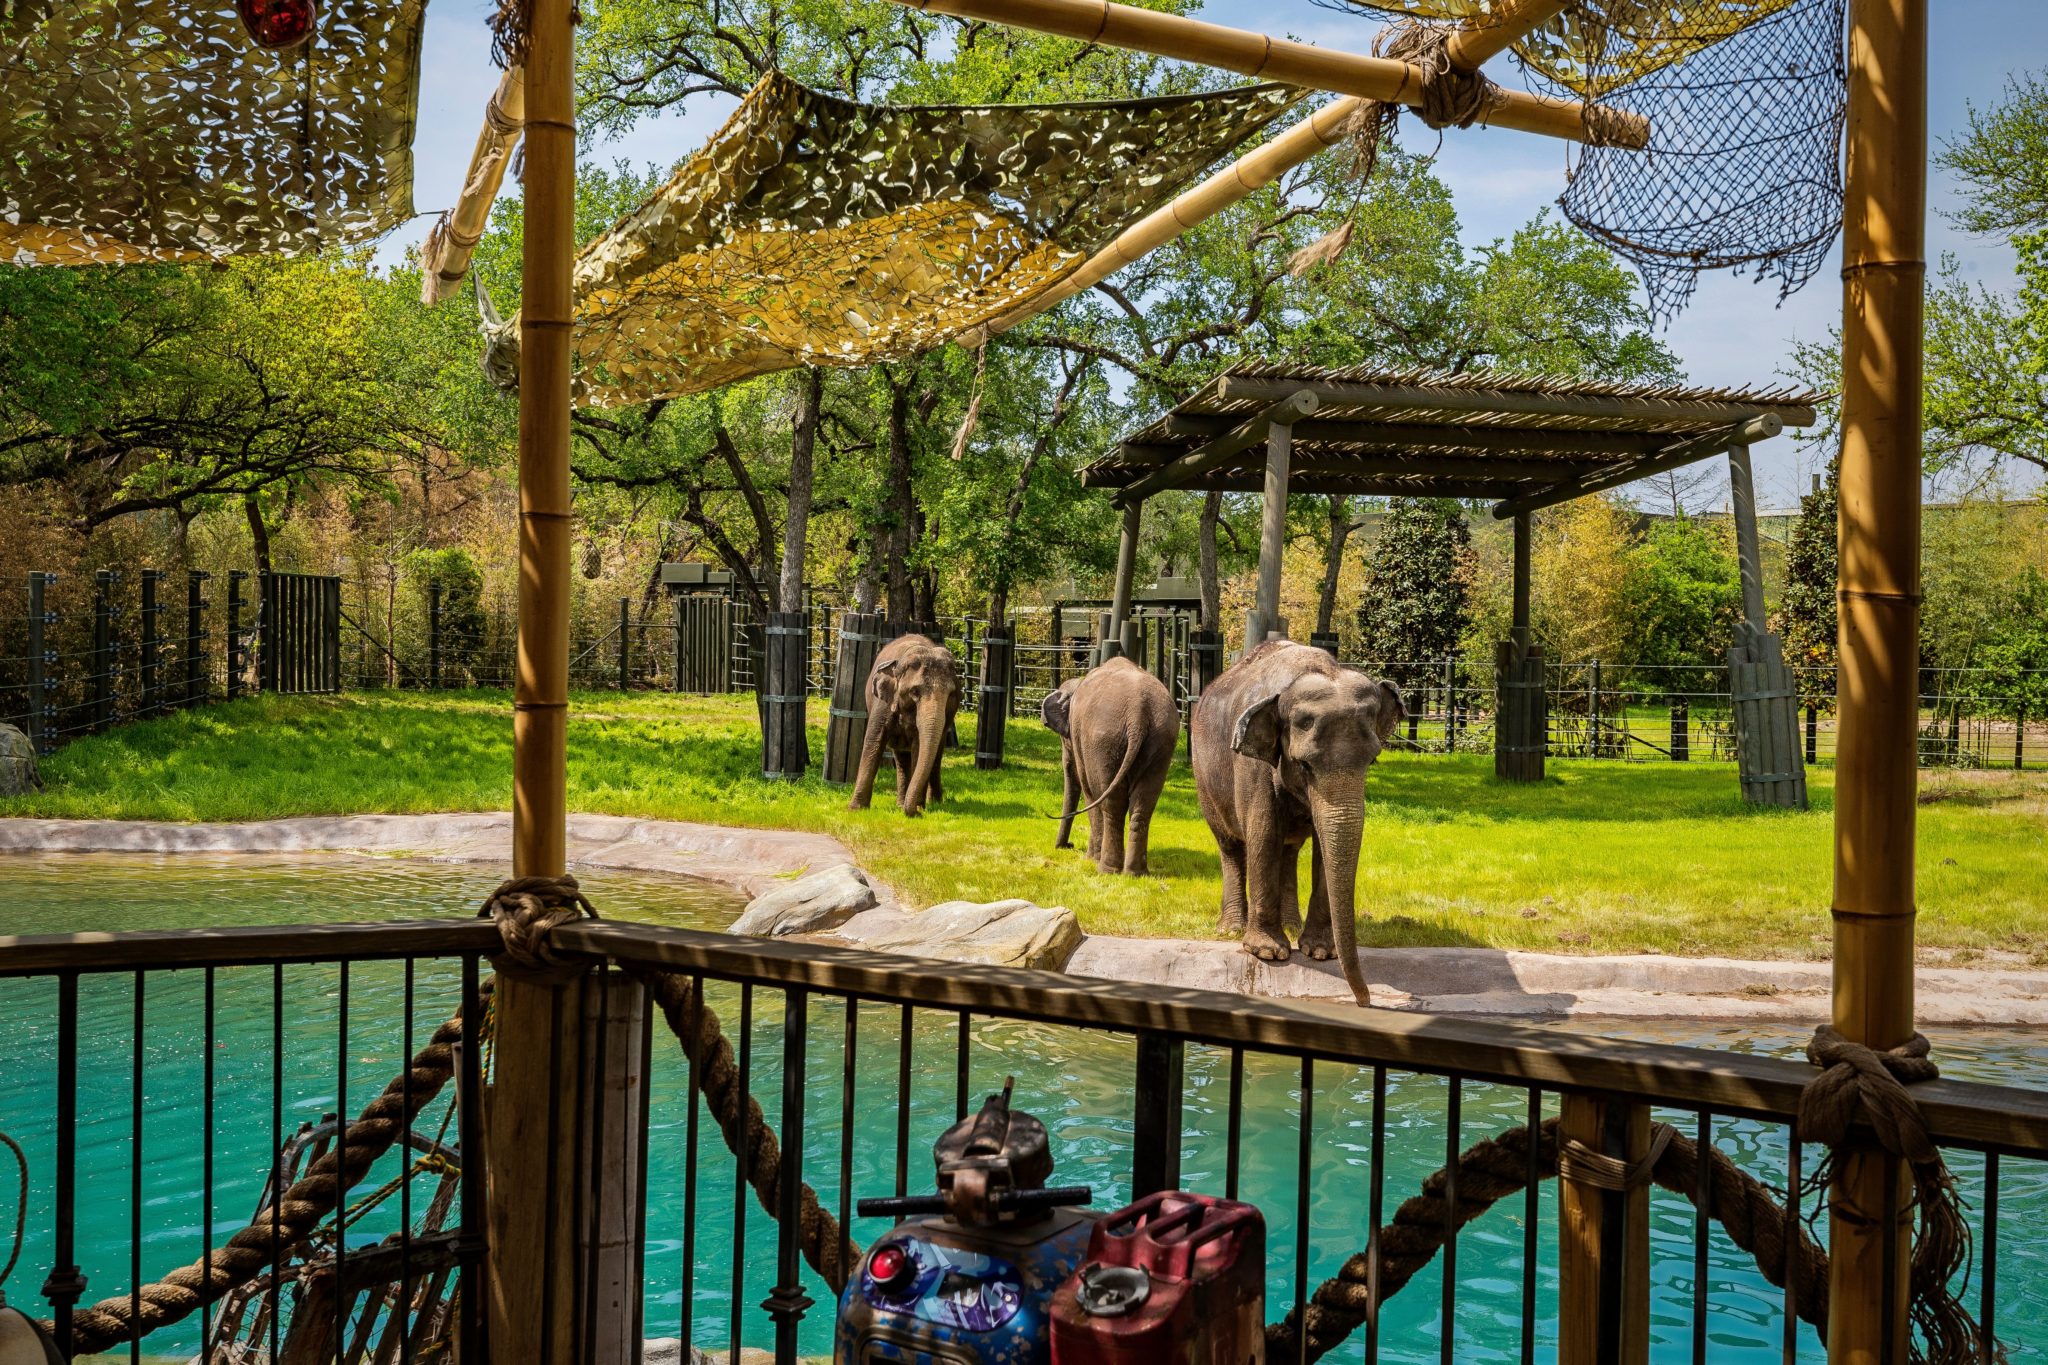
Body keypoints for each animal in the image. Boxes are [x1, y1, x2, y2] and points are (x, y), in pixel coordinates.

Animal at [848, 634, 962, 817]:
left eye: (951, 695)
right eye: (914, 692)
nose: (918, 813)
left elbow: (919, 747)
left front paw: (918, 808)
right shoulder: (882, 704)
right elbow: (874, 741)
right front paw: (855, 810)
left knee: (935, 757)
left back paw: (934, 802)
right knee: (901, 757)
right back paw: (901, 804)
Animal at [1038, 656, 1178, 875]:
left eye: (1064, 738)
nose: (1068, 845)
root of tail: (1137, 713)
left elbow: (1088, 791)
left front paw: (1089, 858)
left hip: (1104, 742)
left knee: (1111, 804)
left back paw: (1106, 869)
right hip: (1162, 741)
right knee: (1144, 804)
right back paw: (1135, 873)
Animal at [1190, 639, 1403, 1006]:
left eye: (1372, 761)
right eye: (1304, 765)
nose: (1365, 1001)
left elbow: (1323, 847)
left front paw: (1320, 952)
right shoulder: (1253, 765)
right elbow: (1262, 832)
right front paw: (1268, 953)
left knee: (1288, 851)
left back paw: (1290, 925)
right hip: (1204, 776)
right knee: (1230, 845)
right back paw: (1232, 928)